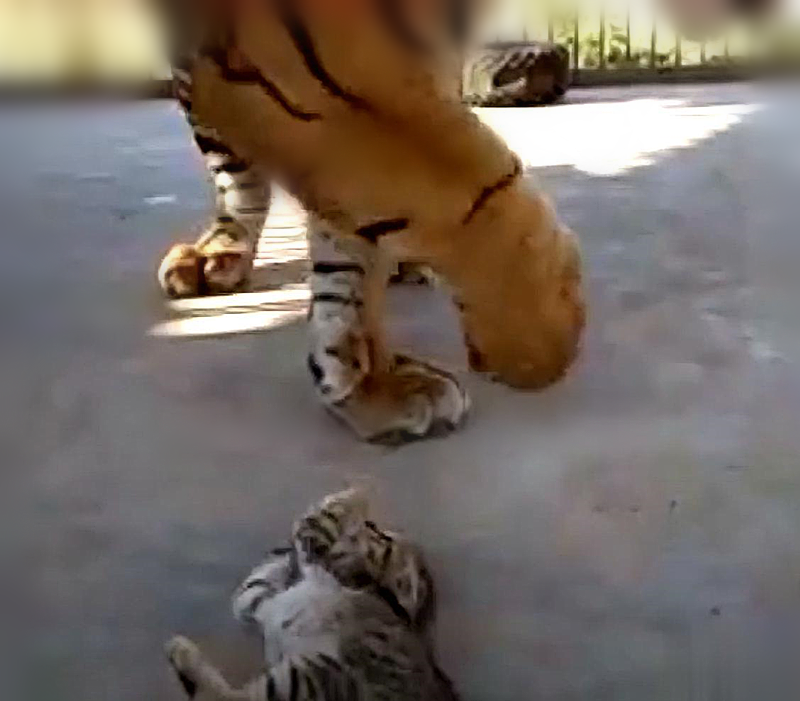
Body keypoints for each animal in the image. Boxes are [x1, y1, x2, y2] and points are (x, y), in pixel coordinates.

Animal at [165, 488, 460, 700]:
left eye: (381, 536)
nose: (371, 523)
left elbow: (312, 531)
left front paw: (344, 502)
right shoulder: (266, 598)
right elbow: (253, 590)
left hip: (313, 673)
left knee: (225, 697)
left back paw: (183, 653)